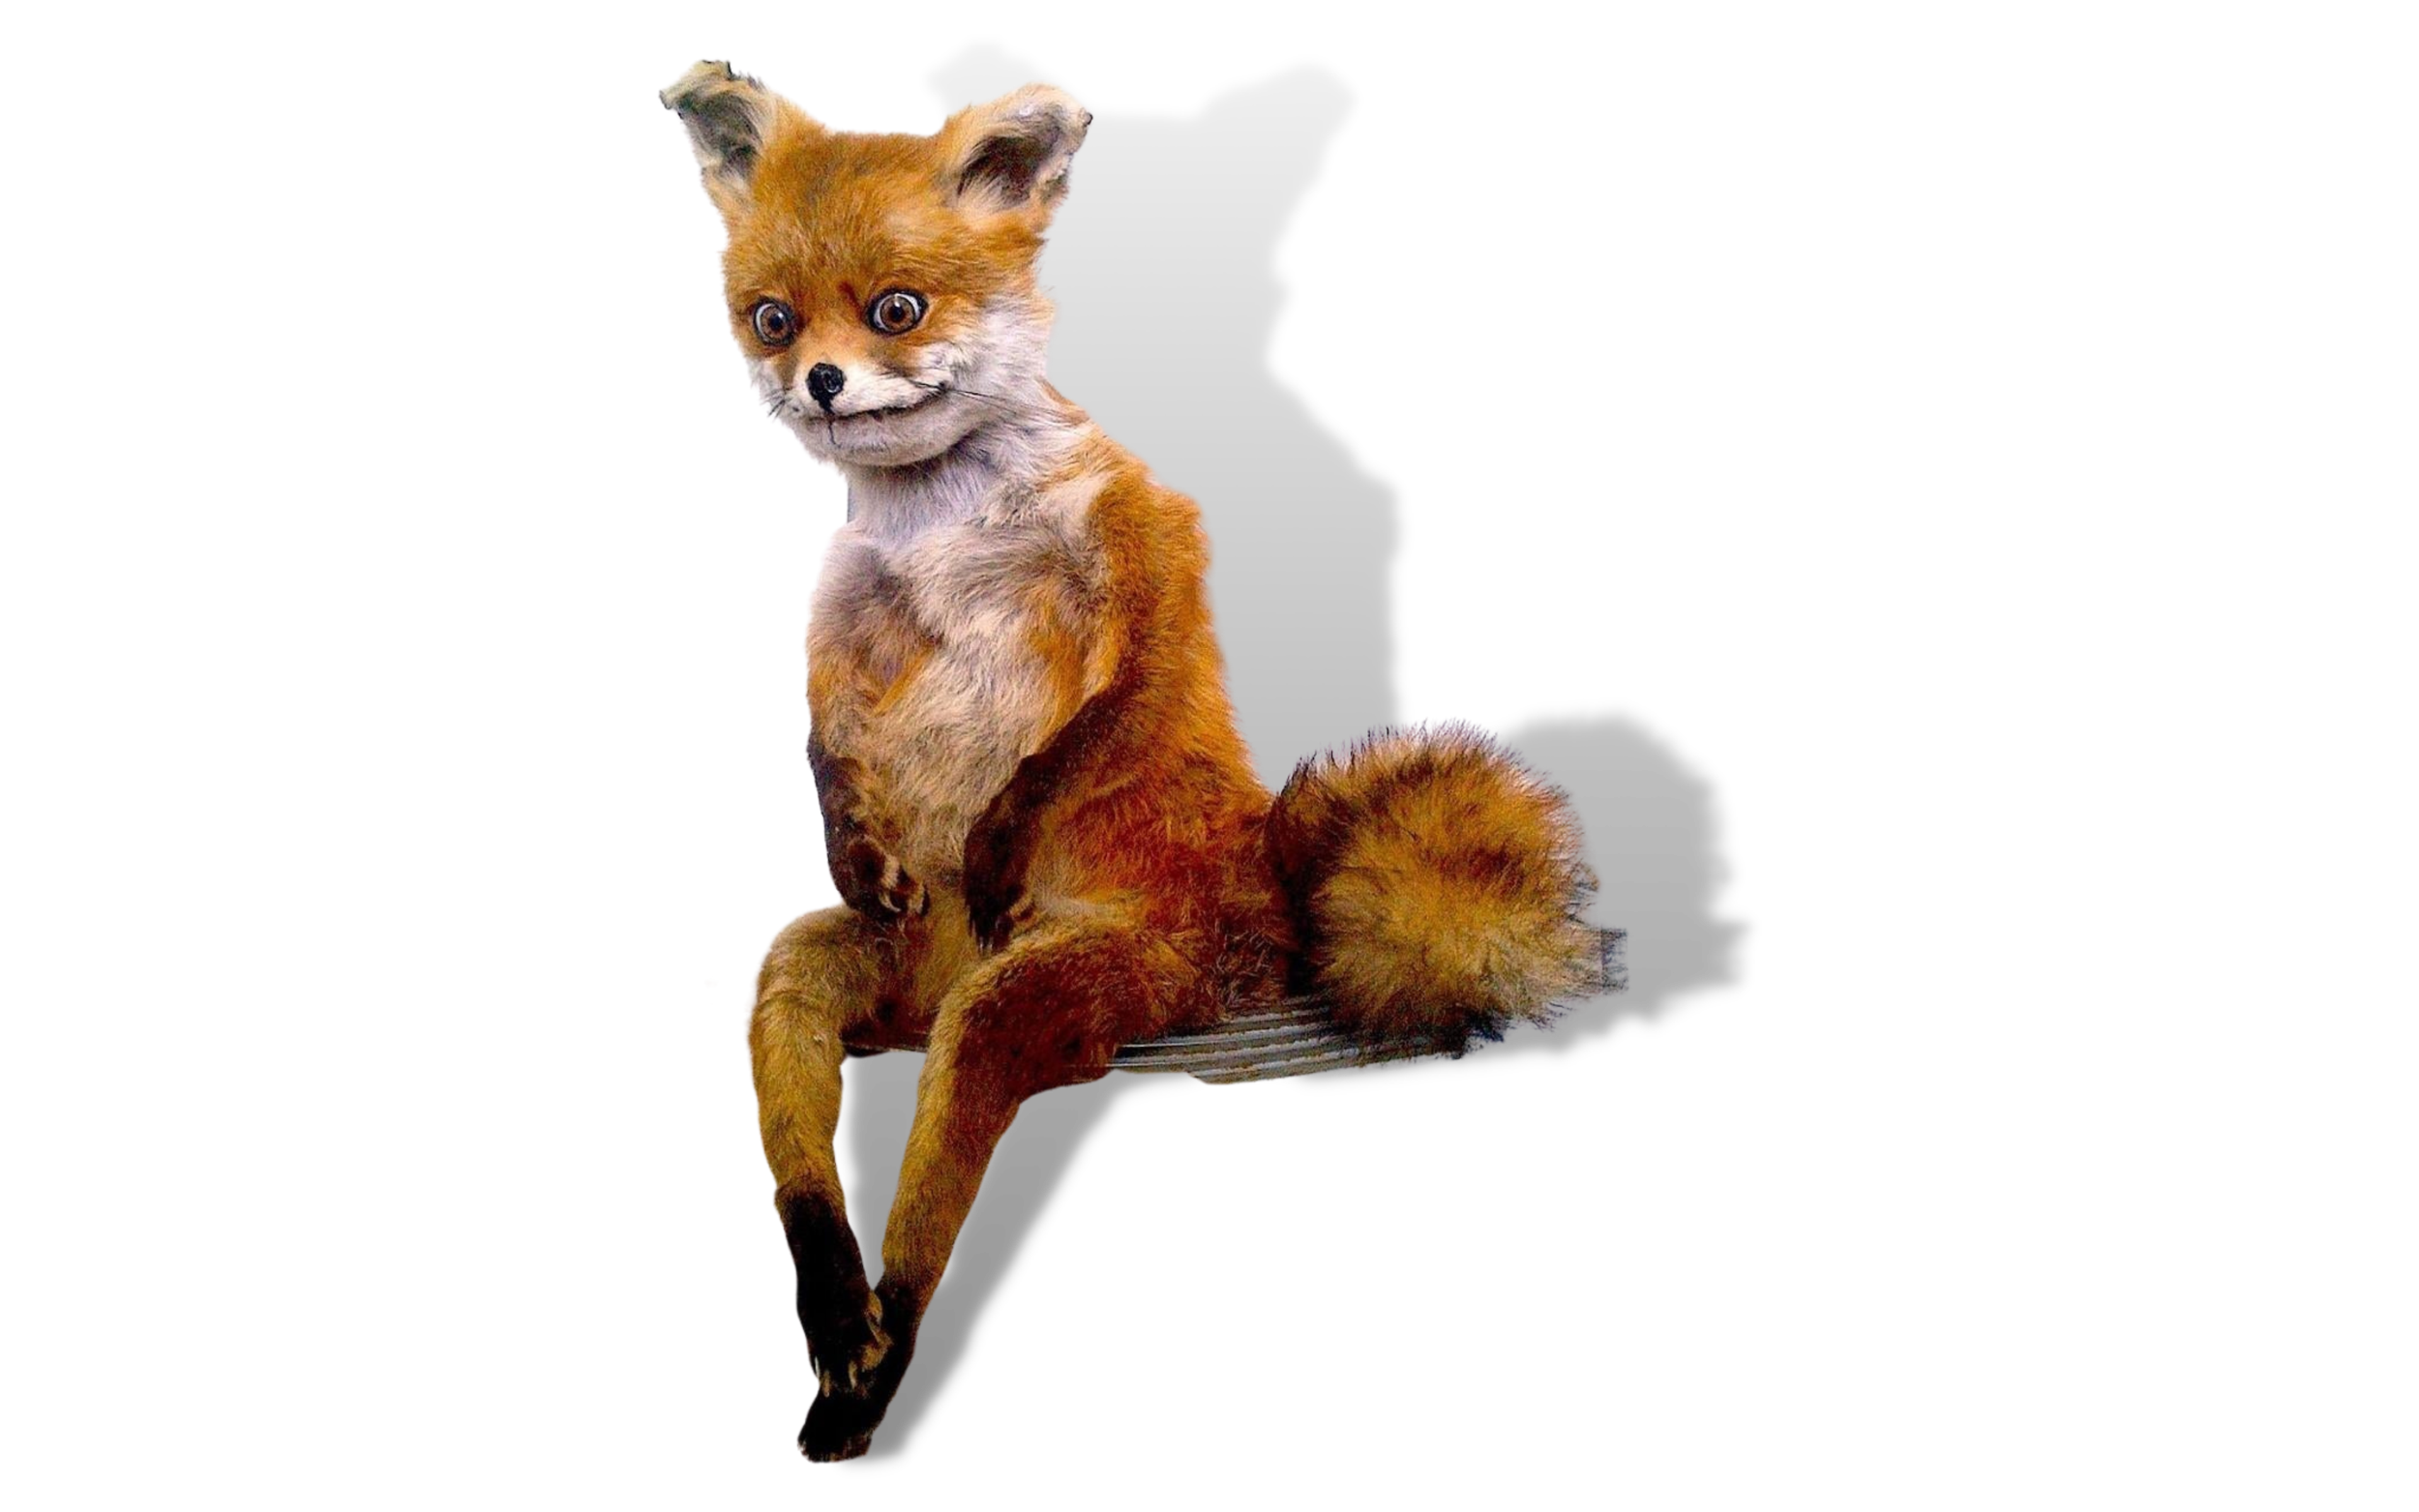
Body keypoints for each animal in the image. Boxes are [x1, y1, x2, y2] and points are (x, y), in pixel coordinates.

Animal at [660, 60, 1628, 1462]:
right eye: (773, 319)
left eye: (896, 309)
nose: (823, 384)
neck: (942, 532)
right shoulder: (837, 619)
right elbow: (834, 756)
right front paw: (857, 835)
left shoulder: (1152, 558)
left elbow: (1092, 726)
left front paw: (1001, 829)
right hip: (831, 973)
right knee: (799, 1083)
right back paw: (840, 1327)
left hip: (1059, 990)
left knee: (951, 1134)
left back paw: (882, 1339)